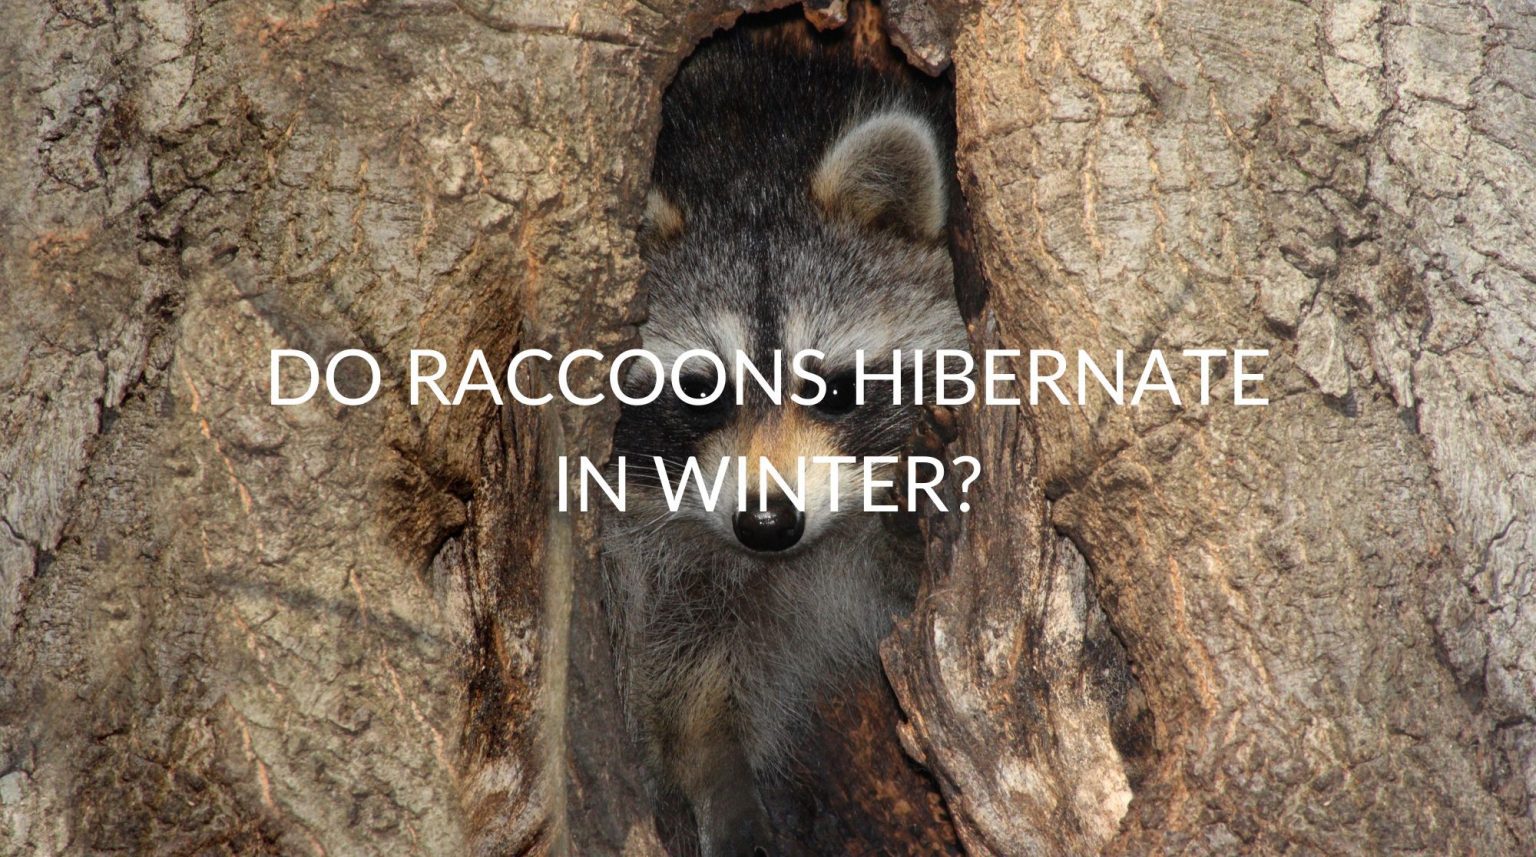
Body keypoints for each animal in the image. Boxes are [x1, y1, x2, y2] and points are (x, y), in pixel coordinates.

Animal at [602, 32, 966, 856]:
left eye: (830, 389)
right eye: (700, 391)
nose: (768, 523)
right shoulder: (662, 553)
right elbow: (683, 676)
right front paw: (718, 776)